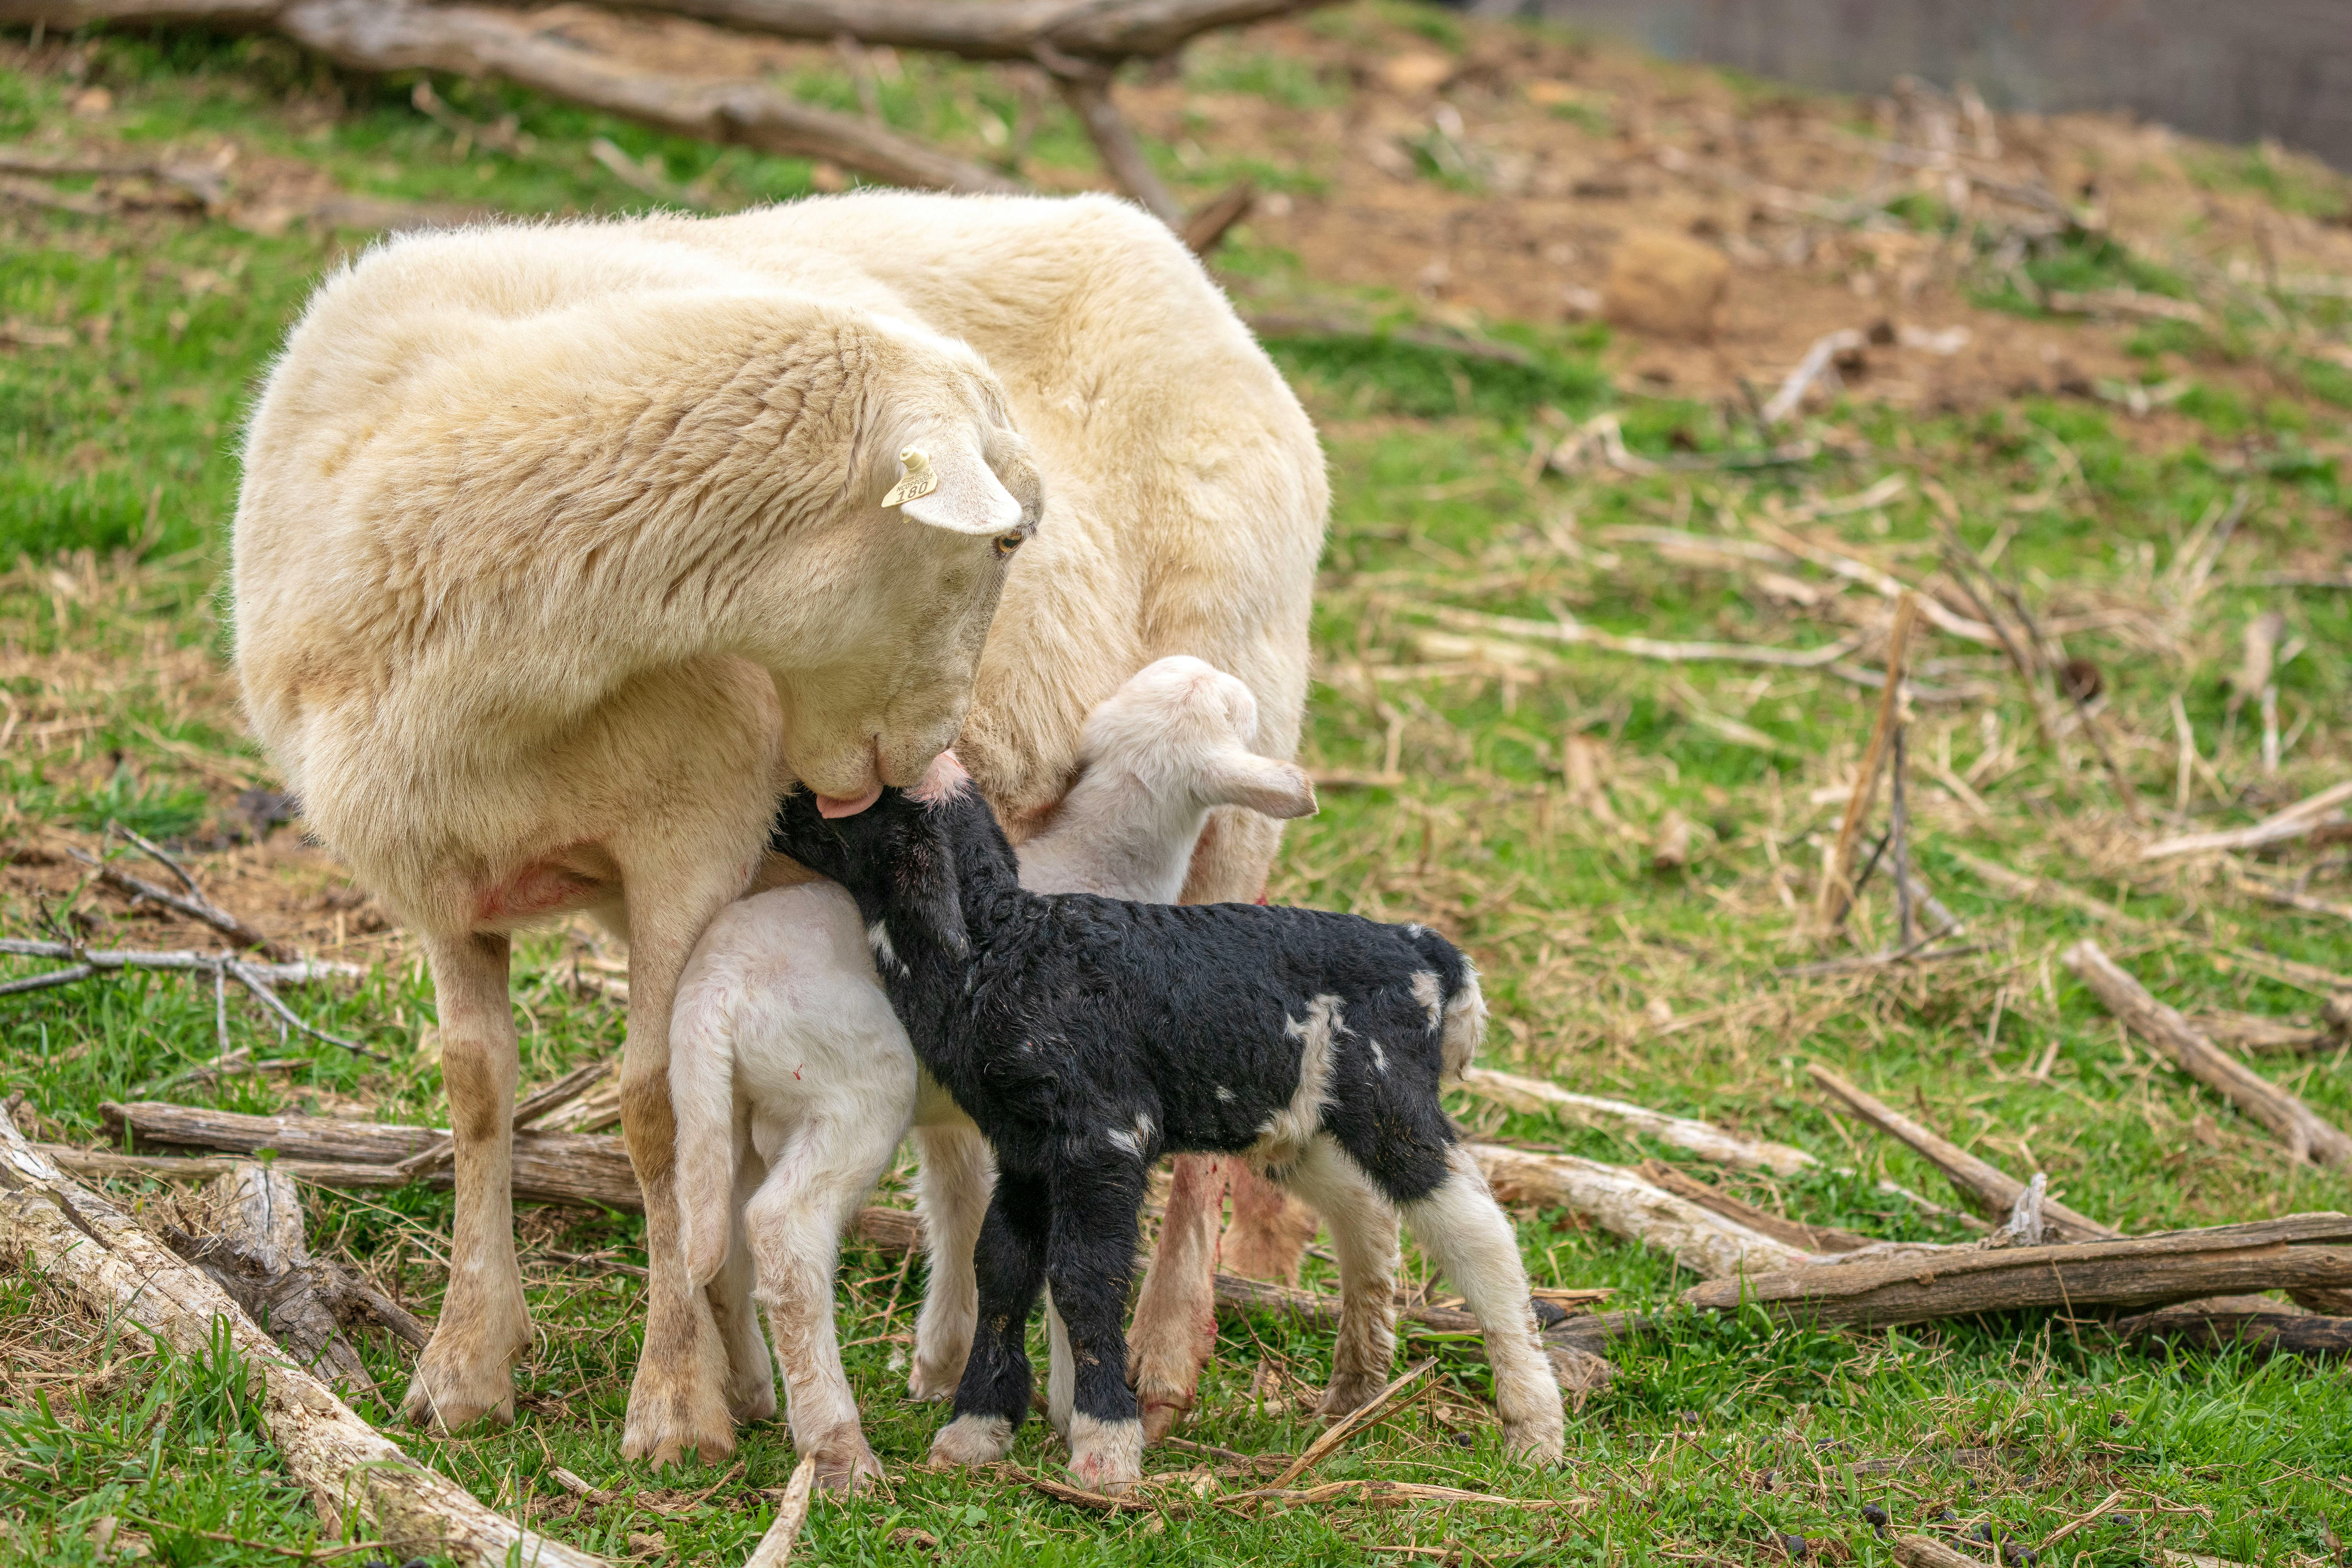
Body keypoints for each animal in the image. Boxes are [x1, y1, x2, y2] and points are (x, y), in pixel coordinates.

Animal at [667, 657, 1317, 1488]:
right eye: (1233, 709)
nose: (1214, 670)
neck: (1105, 863)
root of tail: (713, 991)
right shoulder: (1085, 1128)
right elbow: (1073, 1272)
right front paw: (1079, 1410)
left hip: (732, 1111)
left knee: (715, 1235)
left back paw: (751, 1391)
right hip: (855, 1096)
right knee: (784, 1233)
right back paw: (837, 1443)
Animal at [769, 756, 1566, 1493]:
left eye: (847, 798)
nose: (775, 809)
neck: (1004, 947)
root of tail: (1424, 948)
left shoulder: (1105, 1133)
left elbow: (1084, 1275)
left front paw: (1104, 1448)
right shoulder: (1025, 1147)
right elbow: (1002, 1267)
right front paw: (974, 1431)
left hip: (1386, 1094)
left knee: (1479, 1232)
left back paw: (1534, 1429)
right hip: (1296, 1118)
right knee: (1366, 1214)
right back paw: (1353, 1393)